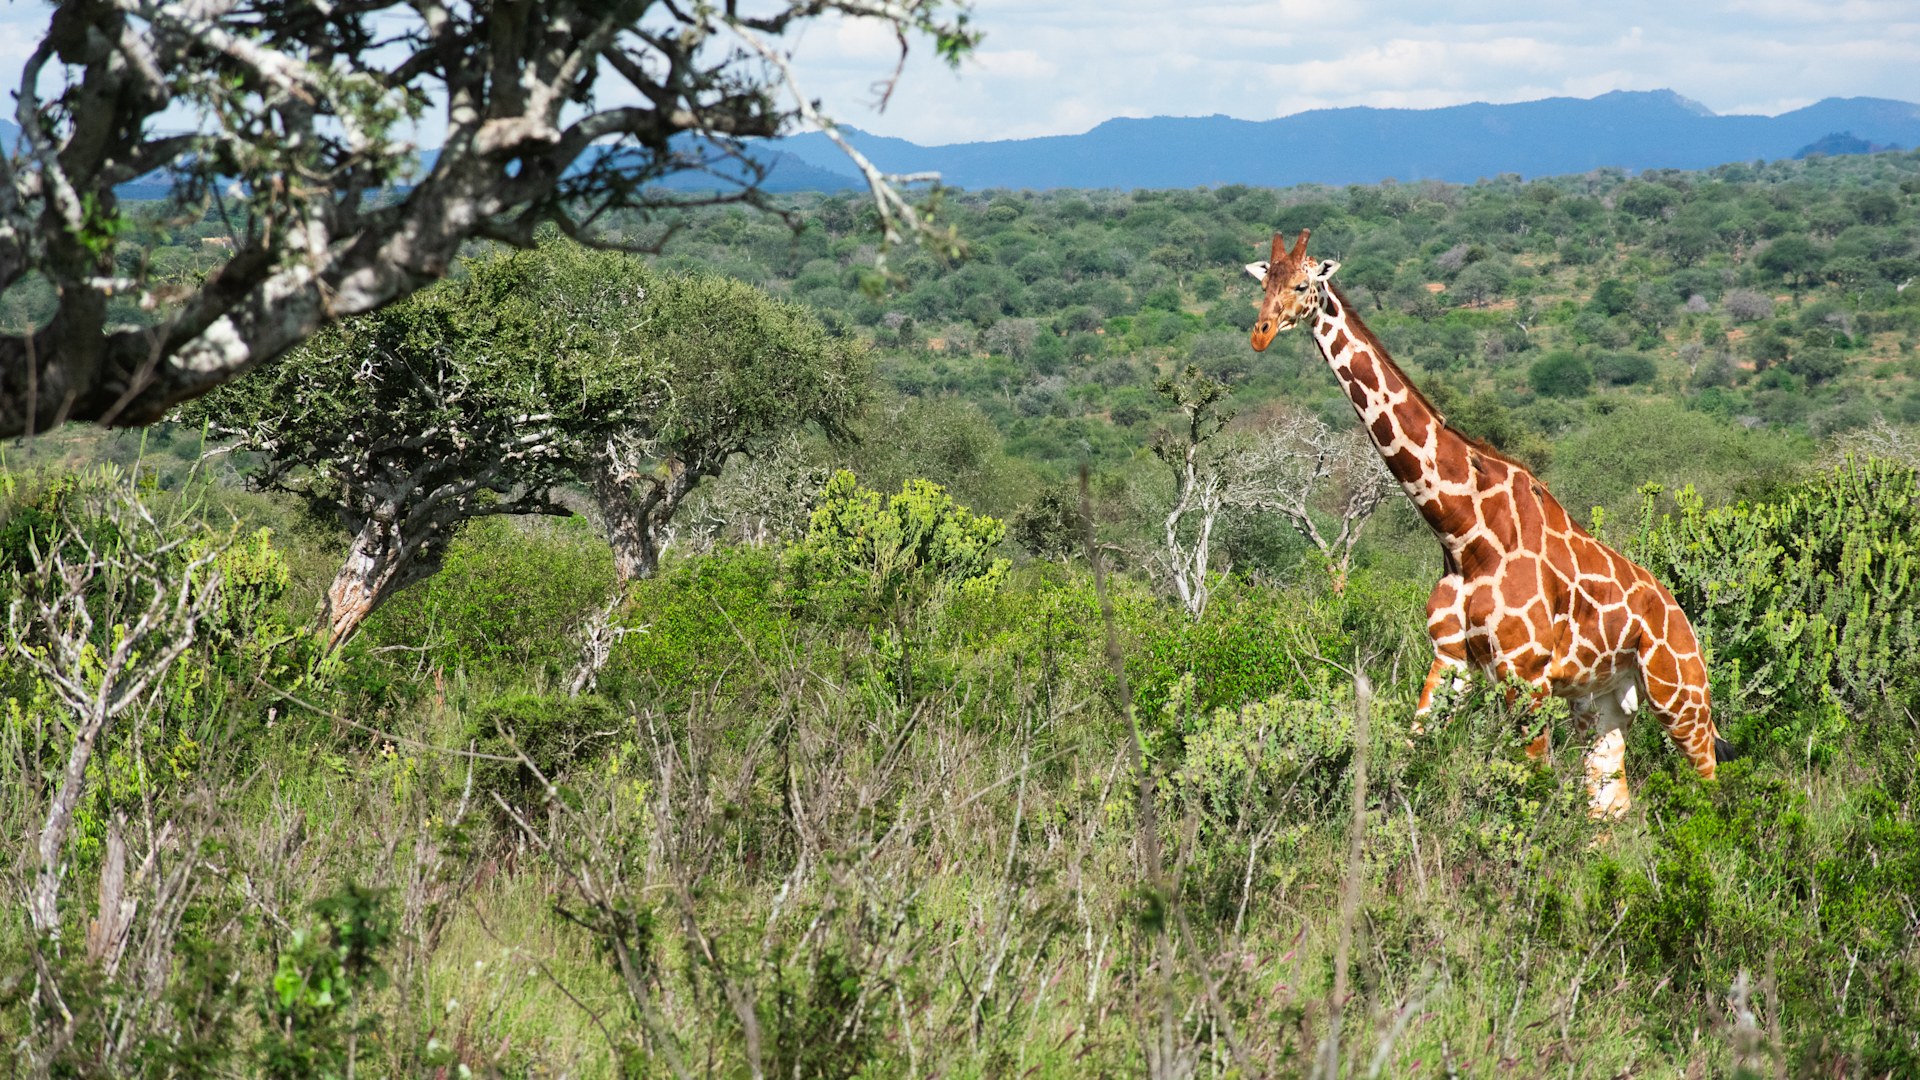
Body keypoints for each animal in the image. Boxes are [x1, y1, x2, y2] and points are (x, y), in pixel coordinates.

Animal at [1244, 229, 1731, 819]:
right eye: (1262, 284)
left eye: (1301, 284)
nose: (1261, 334)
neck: (1461, 533)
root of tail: (1682, 615)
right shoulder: (1451, 659)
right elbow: (1409, 753)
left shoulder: (1526, 673)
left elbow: (1532, 785)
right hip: (1602, 703)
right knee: (1611, 805)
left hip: (1679, 692)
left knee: (1707, 779)